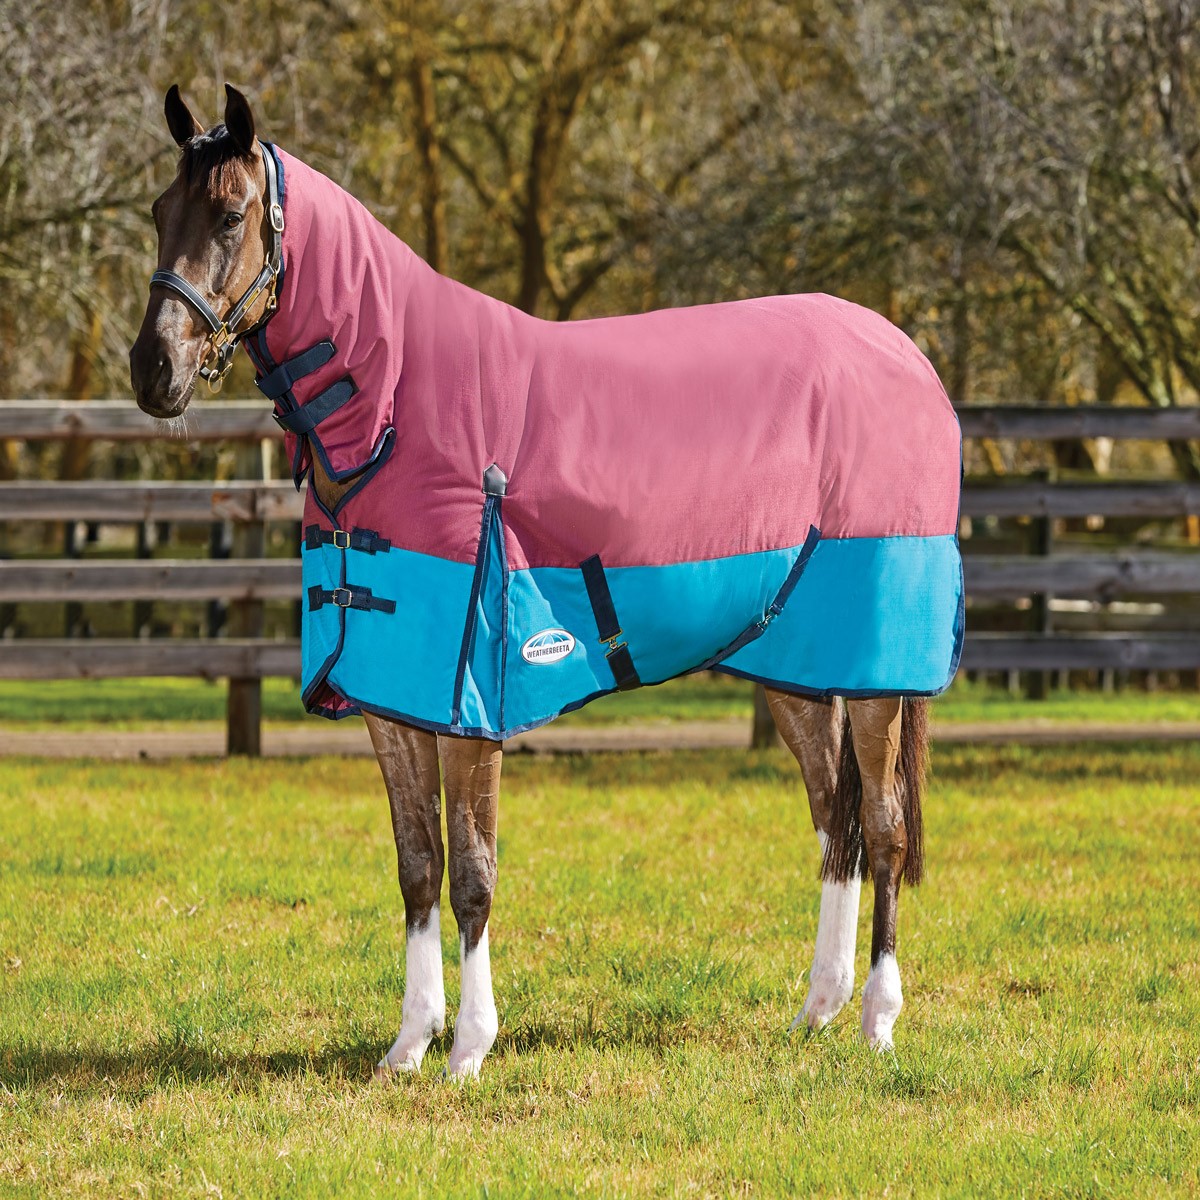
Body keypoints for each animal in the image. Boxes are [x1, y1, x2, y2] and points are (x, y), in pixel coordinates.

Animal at [129, 85, 963, 1078]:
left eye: (228, 216)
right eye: (157, 213)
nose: (153, 371)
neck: (400, 409)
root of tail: (908, 357)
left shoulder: (470, 706)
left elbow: (473, 874)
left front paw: (468, 1049)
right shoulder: (393, 699)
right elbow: (417, 866)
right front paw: (408, 1045)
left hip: (877, 673)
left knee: (884, 825)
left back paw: (877, 1019)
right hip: (797, 669)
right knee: (835, 819)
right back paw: (818, 1009)